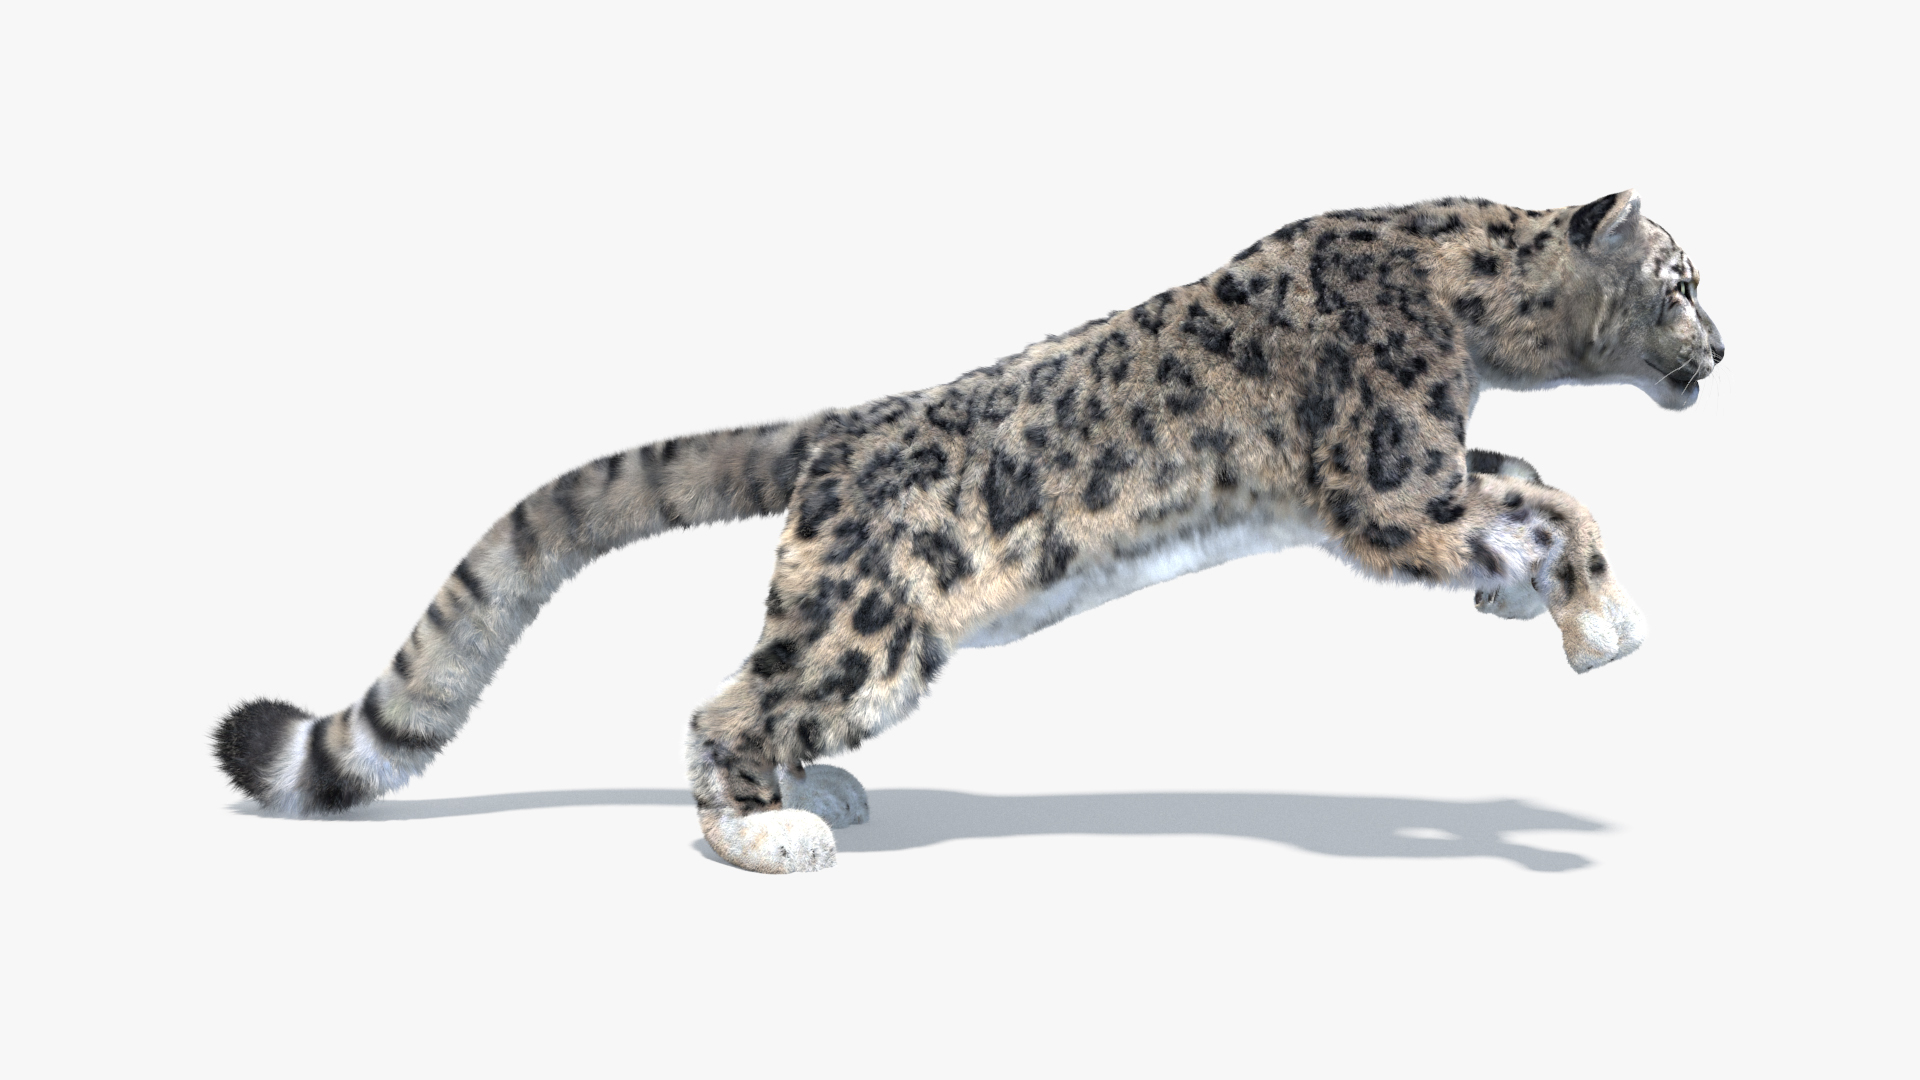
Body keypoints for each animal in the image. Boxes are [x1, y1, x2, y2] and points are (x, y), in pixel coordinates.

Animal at [214, 190, 1724, 874]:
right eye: (1680, 281)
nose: (1724, 347)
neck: (1471, 320)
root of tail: (842, 428)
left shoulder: (1430, 463)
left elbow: (1523, 471)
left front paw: (1528, 596)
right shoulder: (1391, 482)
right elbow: (1554, 491)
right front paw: (1604, 618)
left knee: (763, 703)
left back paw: (813, 790)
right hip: (875, 631)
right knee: (726, 704)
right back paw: (767, 834)